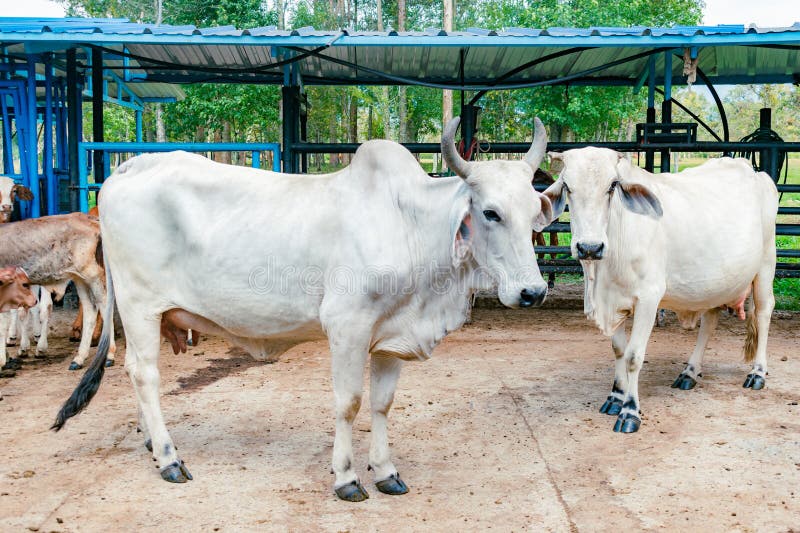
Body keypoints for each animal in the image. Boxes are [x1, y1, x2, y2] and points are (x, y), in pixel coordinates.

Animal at [0, 213, 115, 370]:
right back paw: (79, 358)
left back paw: (109, 355)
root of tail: (90, 218)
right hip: (80, 278)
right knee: (90, 310)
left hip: (93, 275)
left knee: (104, 306)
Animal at [53, 117, 553, 502]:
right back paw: (169, 458)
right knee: (144, 374)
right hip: (140, 306)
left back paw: (151, 444)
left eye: (534, 214)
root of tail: (127, 168)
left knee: (141, 378)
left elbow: (383, 404)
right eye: (490, 213)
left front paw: (386, 471)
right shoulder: (347, 327)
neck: (407, 223)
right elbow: (350, 403)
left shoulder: (391, 335)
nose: (532, 291)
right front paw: (347, 477)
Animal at [543, 149, 778, 433]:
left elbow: (633, 356)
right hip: (716, 284)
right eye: (567, 186)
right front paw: (615, 397)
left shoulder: (648, 299)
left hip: (765, 266)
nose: (590, 247)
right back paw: (689, 372)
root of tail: (753, 171)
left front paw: (630, 411)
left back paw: (757, 373)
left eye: (612, 185)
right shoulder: (613, 301)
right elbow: (618, 350)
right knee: (709, 321)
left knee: (763, 313)